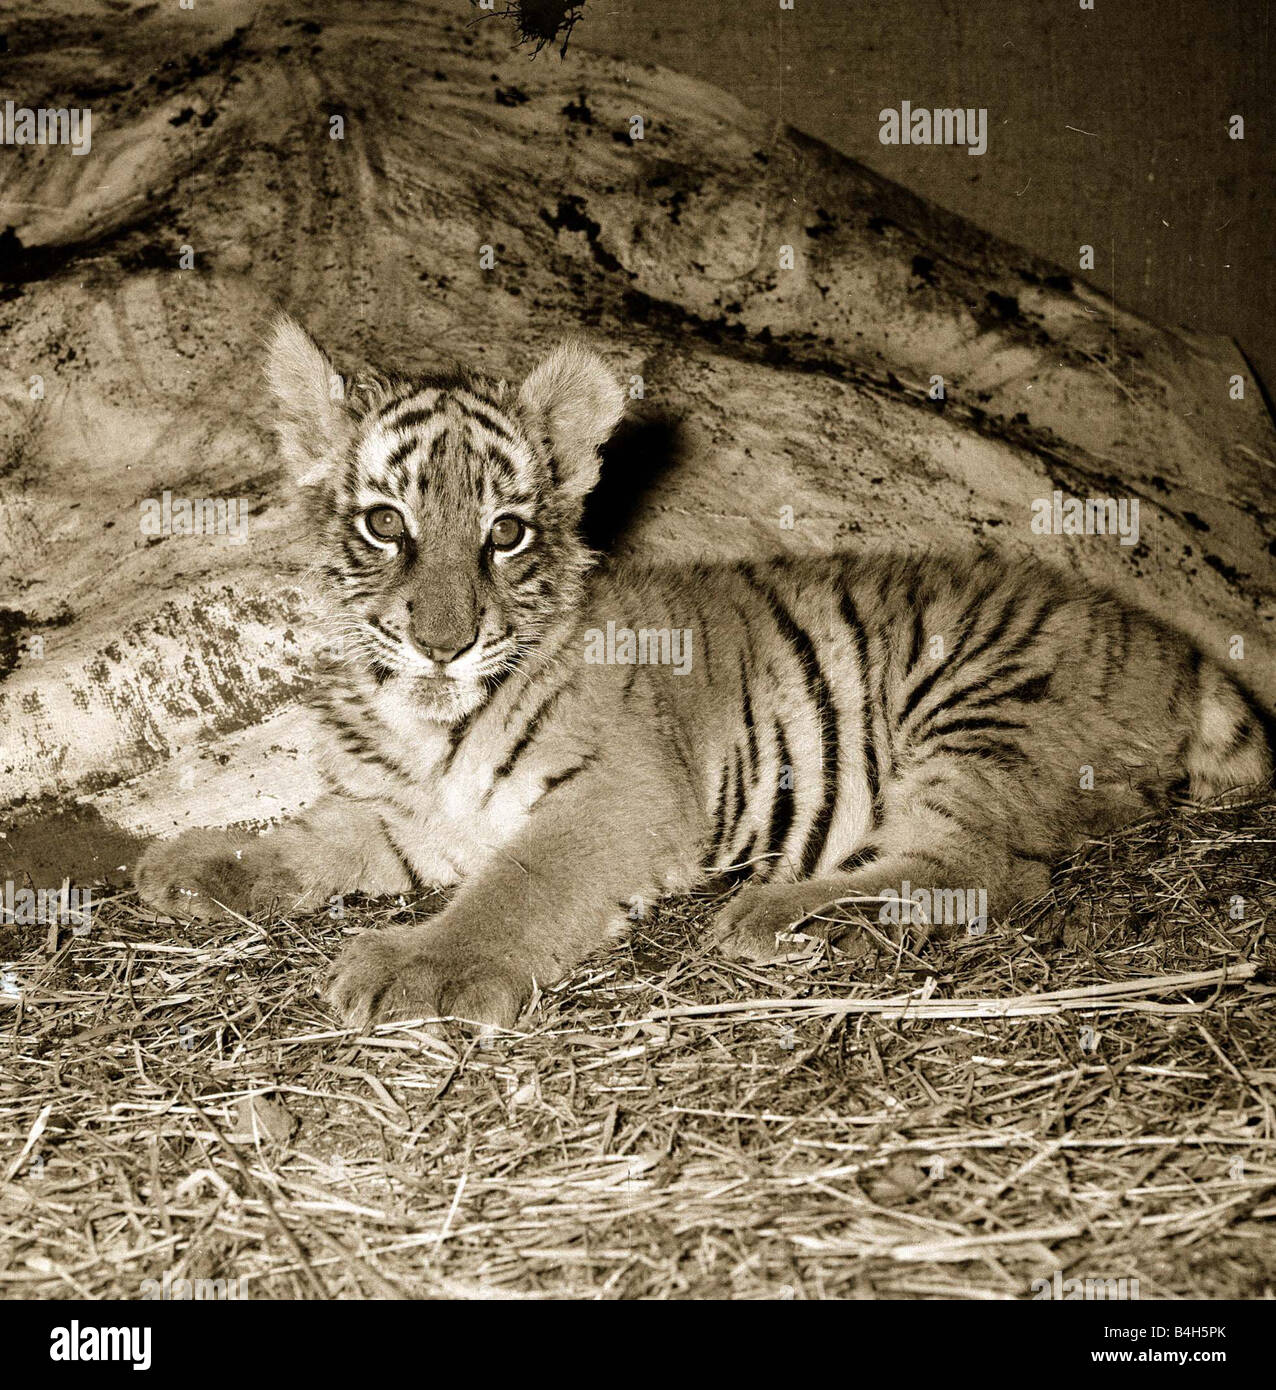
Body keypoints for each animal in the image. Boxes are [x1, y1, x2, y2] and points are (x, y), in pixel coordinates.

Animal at [135, 314, 1273, 1030]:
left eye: (505, 534)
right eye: (385, 524)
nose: (443, 642)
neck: (417, 716)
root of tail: (1171, 643)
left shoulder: (619, 798)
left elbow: (517, 886)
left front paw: (423, 969)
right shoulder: (411, 811)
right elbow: (309, 835)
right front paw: (194, 865)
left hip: (975, 707)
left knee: (989, 867)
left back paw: (778, 913)